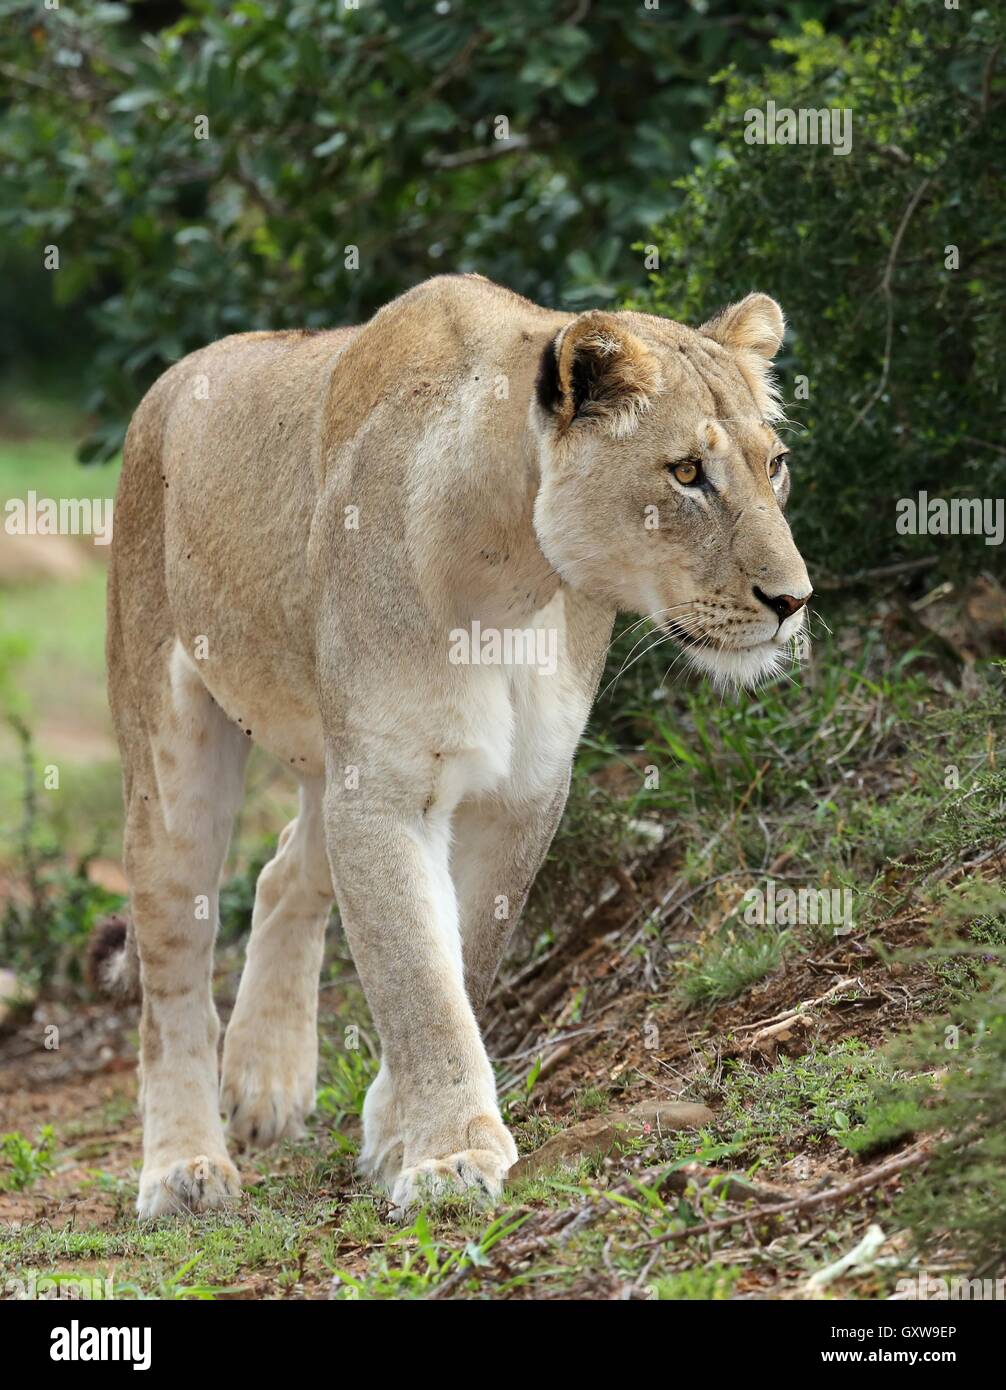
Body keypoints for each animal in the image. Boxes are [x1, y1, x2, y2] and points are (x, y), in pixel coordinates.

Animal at [97, 274, 811, 1217]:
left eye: (775, 464)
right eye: (688, 473)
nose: (793, 600)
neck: (515, 582)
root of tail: (171, 381)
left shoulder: (521, 793)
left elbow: (464, 959)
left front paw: (398, 1132)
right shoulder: (384, 793)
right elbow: (419, 983)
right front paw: (452, 1156)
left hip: (327, 751)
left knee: (285, 868)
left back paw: (265, 1081)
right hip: (172, 753)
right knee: (173, 957)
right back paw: (184, 1166)